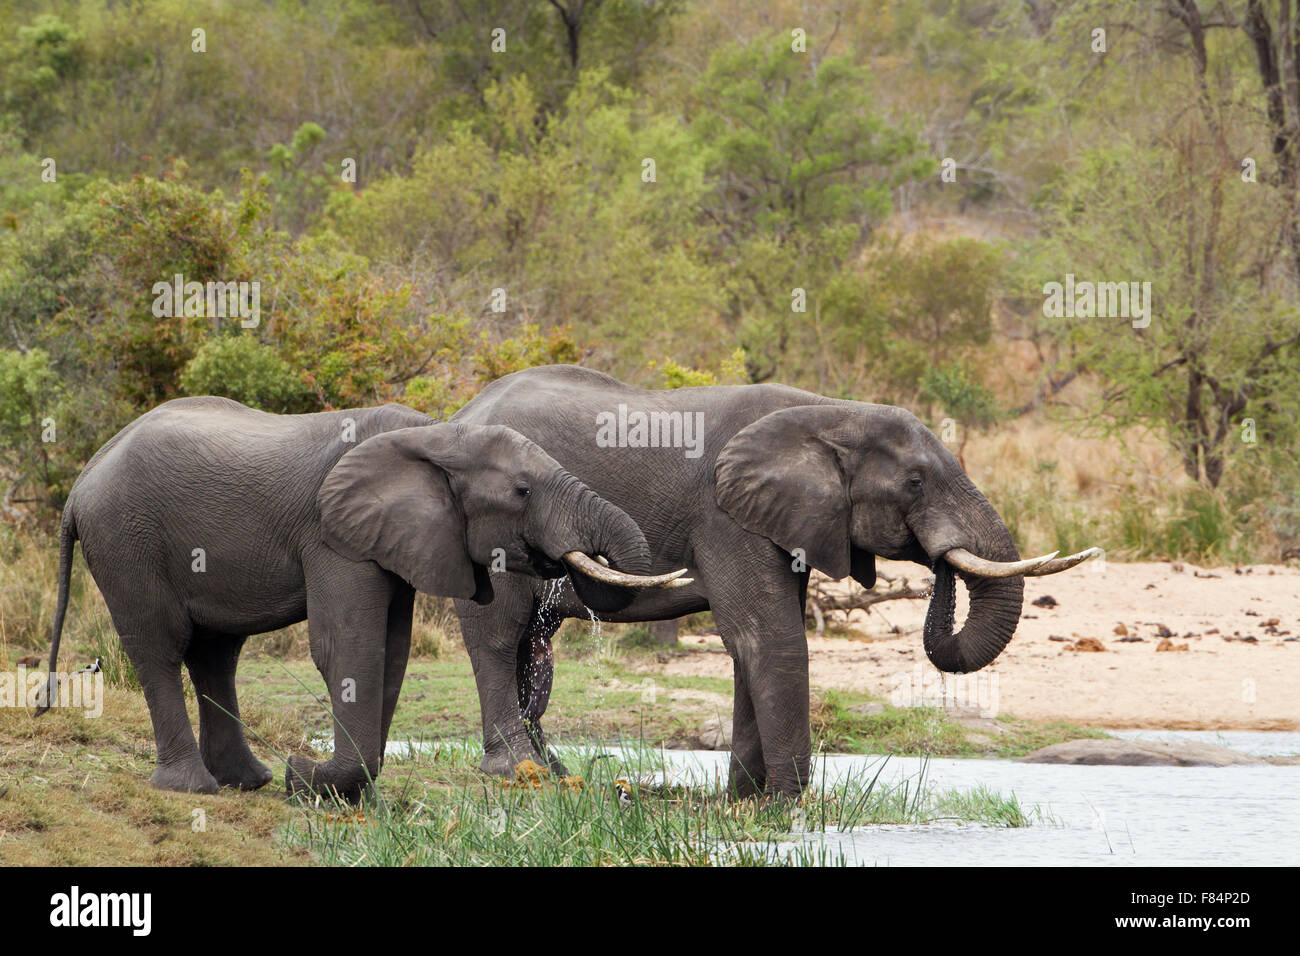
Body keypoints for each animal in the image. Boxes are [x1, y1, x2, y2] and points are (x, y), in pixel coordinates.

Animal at [36, 396, 687, 801]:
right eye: (523, 491)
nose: (302, 763)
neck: (435, 431)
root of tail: (81, 482)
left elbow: (389, 651)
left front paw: (337, 789)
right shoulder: (333, 533)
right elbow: (343, 647)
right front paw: (312, 782)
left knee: (217, 652)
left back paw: (252, 781)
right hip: (125, 541)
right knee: (160, 646)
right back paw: (197, 788)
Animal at [451, 365, 1098, 797]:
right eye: (915, 483)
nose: (939, 561)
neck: (830, 411)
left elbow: (750, 646)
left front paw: (746, 798)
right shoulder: (724, 514)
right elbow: (771, 637)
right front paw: (789, 804)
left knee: (533, 646)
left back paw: (553, 773)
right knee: (499, 636)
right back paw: (513, 771)